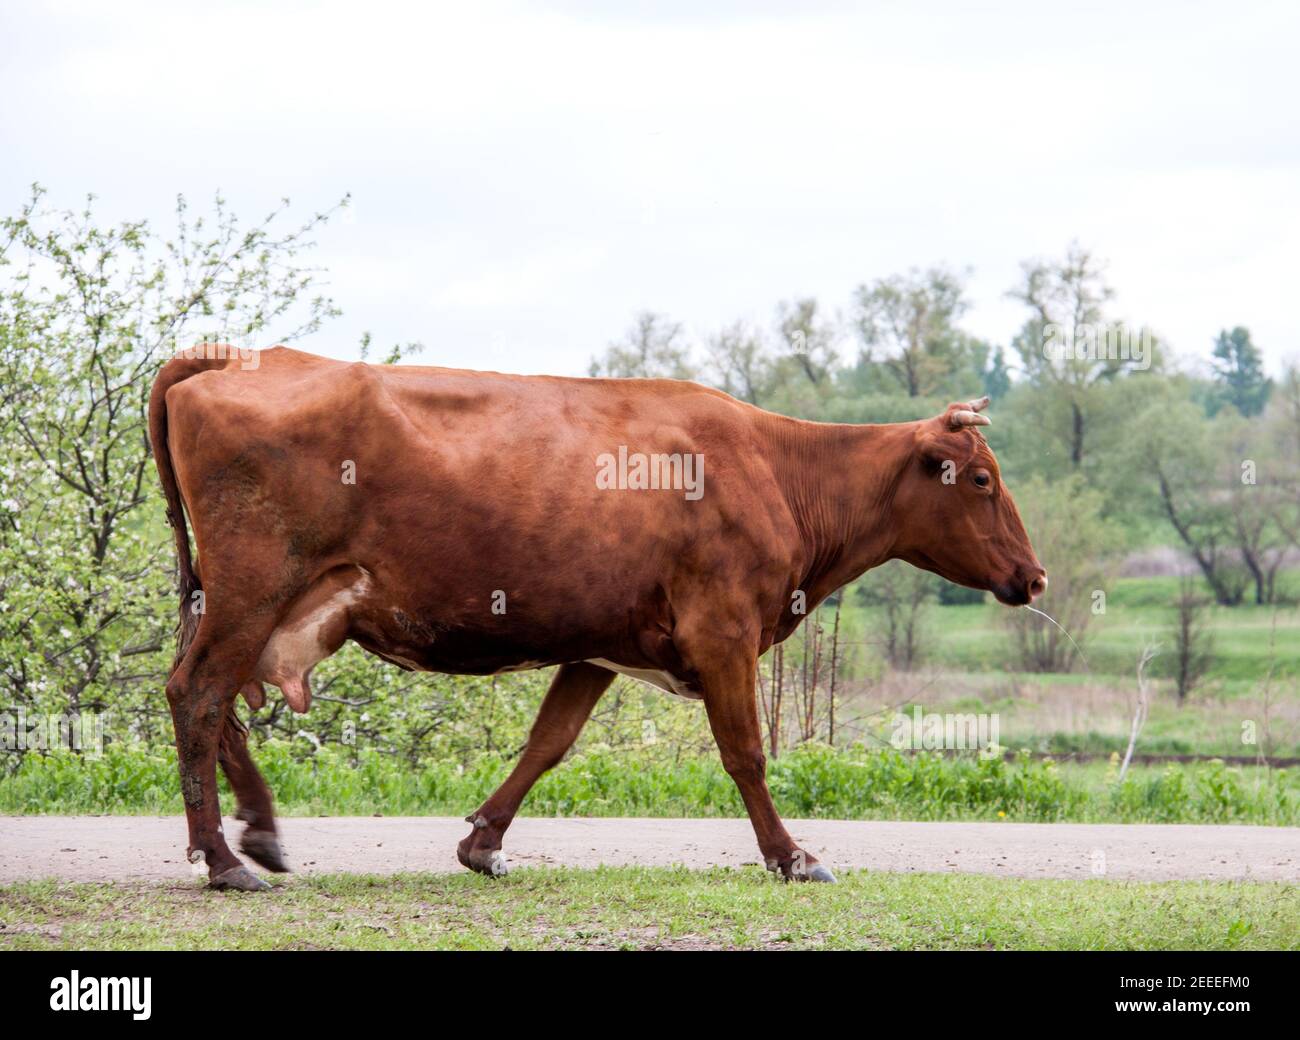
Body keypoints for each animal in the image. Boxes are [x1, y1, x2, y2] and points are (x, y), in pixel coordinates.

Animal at [149, 345, 1046, 891]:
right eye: (980, 481)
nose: (1033, 577)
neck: (779, 470)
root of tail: (247, 354)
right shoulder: (723, 632)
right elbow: (747, 754)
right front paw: (793, 857)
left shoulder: (600, 644)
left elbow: (549, 741)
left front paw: (483, 844)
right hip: (253, 587)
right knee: (198, 694)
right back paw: (224, 860)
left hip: (245, 601)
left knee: (214, 703)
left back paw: (257, 835)